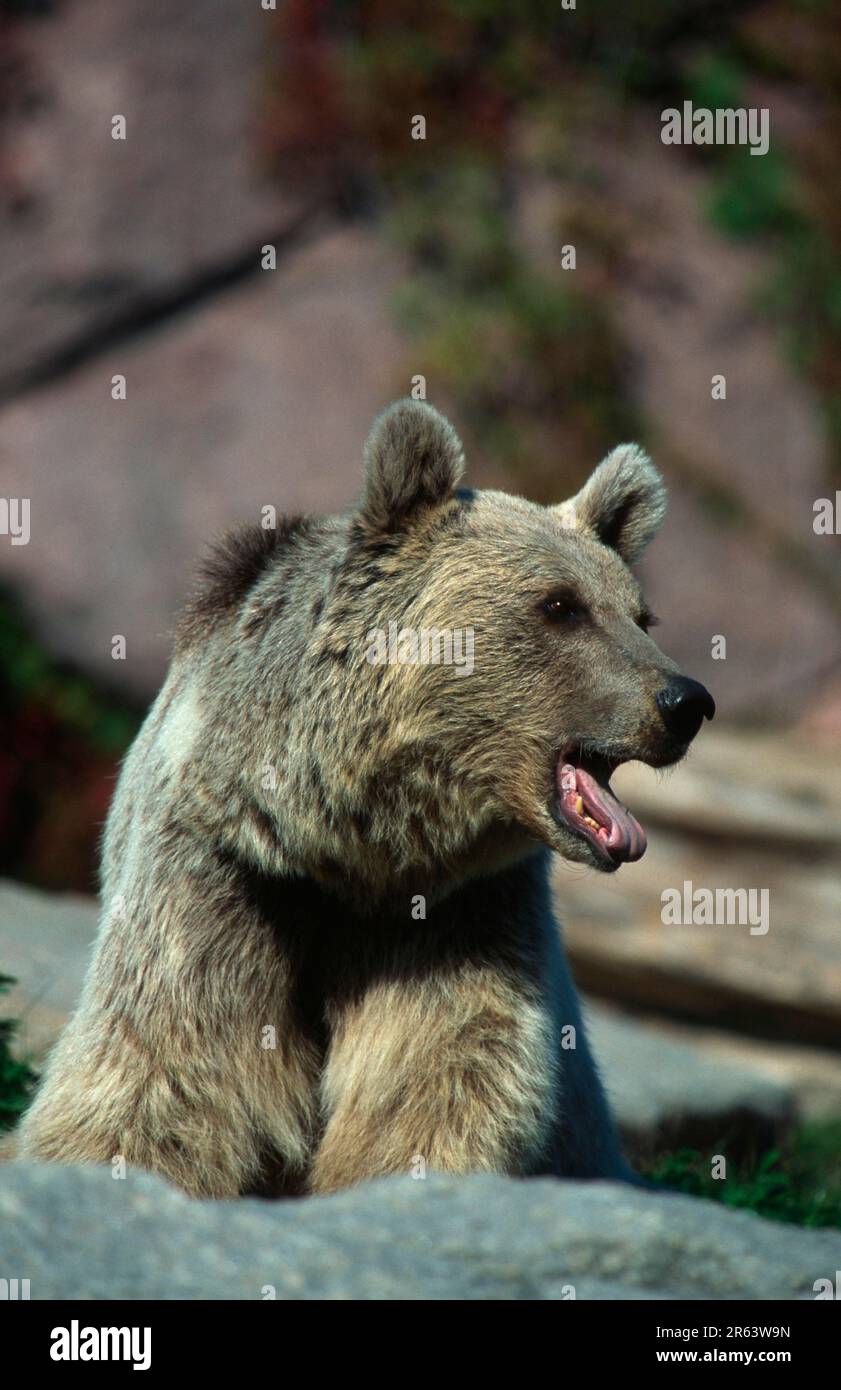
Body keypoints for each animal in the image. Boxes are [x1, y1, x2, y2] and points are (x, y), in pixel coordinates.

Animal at [15, 399, 714, 1197]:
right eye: (561, 606)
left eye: (641, 615)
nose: (685, 701)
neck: (347, 850)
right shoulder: (218, 882)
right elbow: (165, 1071)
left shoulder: (458, 911)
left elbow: (439, 1071)